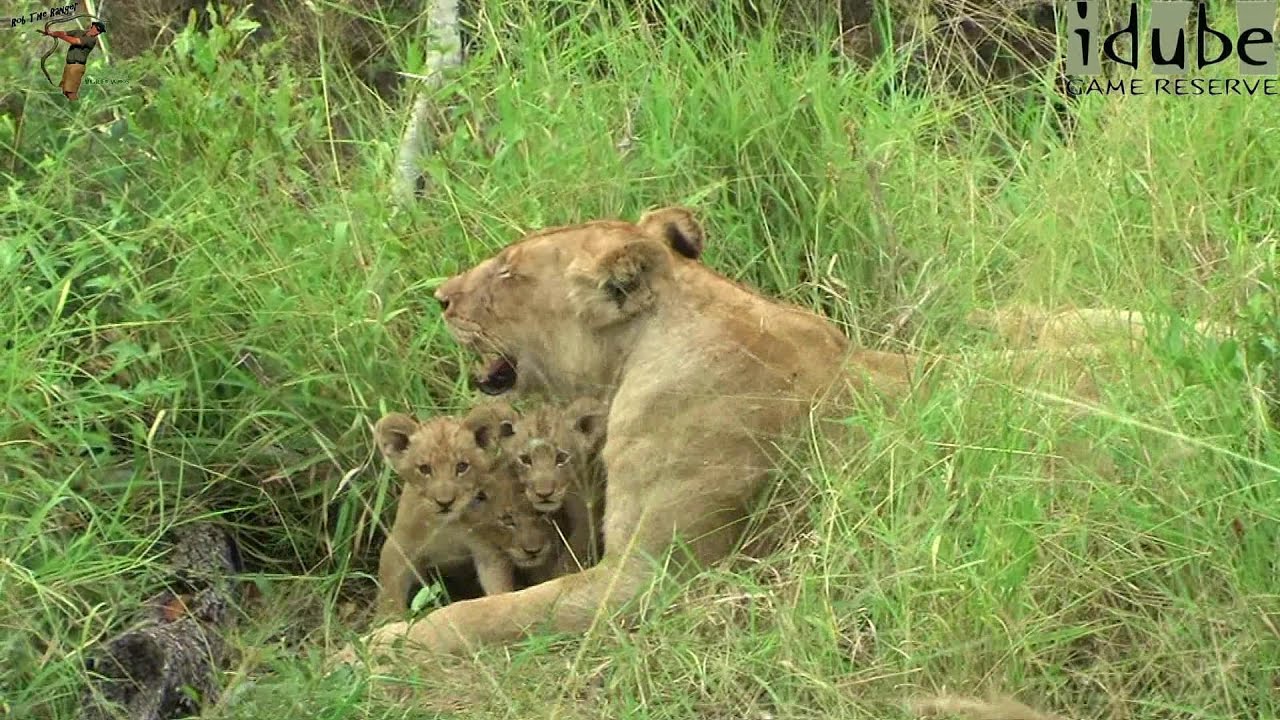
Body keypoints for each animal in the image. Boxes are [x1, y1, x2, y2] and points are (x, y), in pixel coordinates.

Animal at [370, 412, 524, 619]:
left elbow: (498, 585)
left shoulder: (487, 549)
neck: (445, 526)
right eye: (424, 469)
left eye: (462, 466)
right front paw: (388, 620)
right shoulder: (398, 546)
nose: (445, 502)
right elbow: (390, 593)